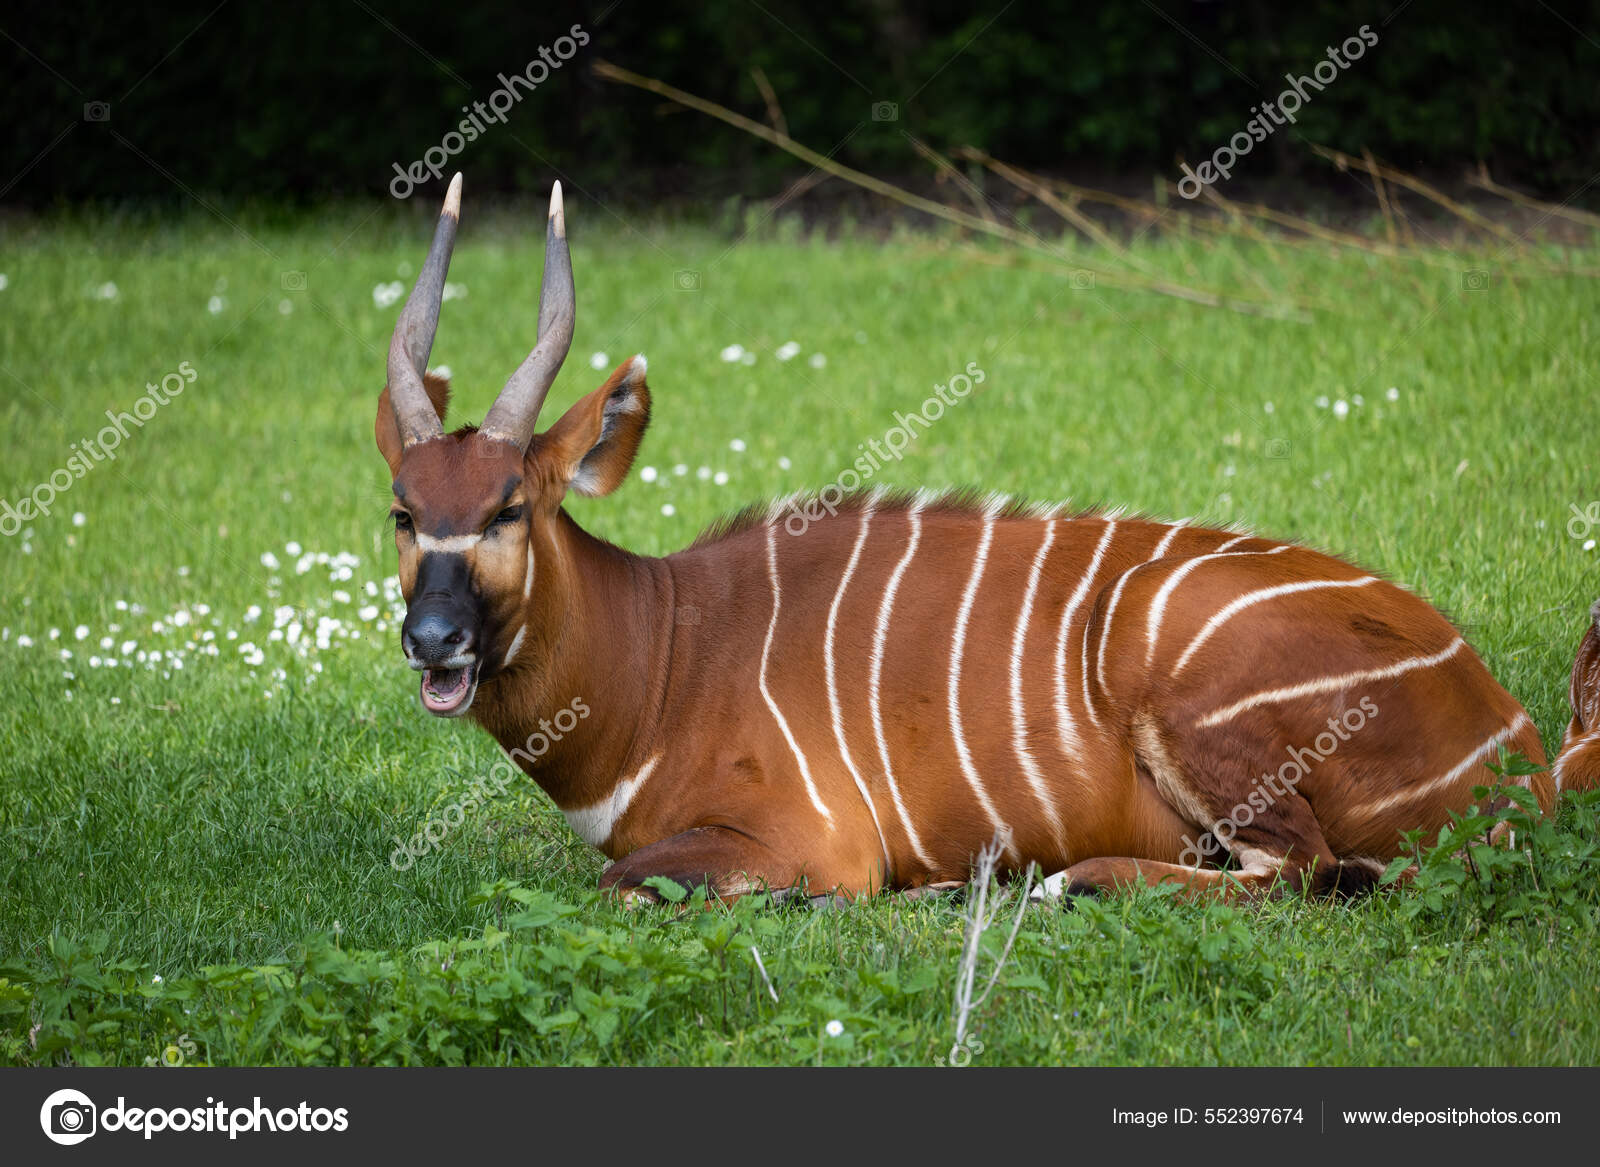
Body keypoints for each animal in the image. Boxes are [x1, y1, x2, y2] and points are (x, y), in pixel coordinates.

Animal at [376, 174, 1593, 904]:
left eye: (510, 506)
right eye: (402, 509)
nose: (432, 638)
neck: (663, 657)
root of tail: (1519, 754)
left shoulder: (806, 842)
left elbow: (622, 884)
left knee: (1304, 872)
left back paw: (1063, 882)